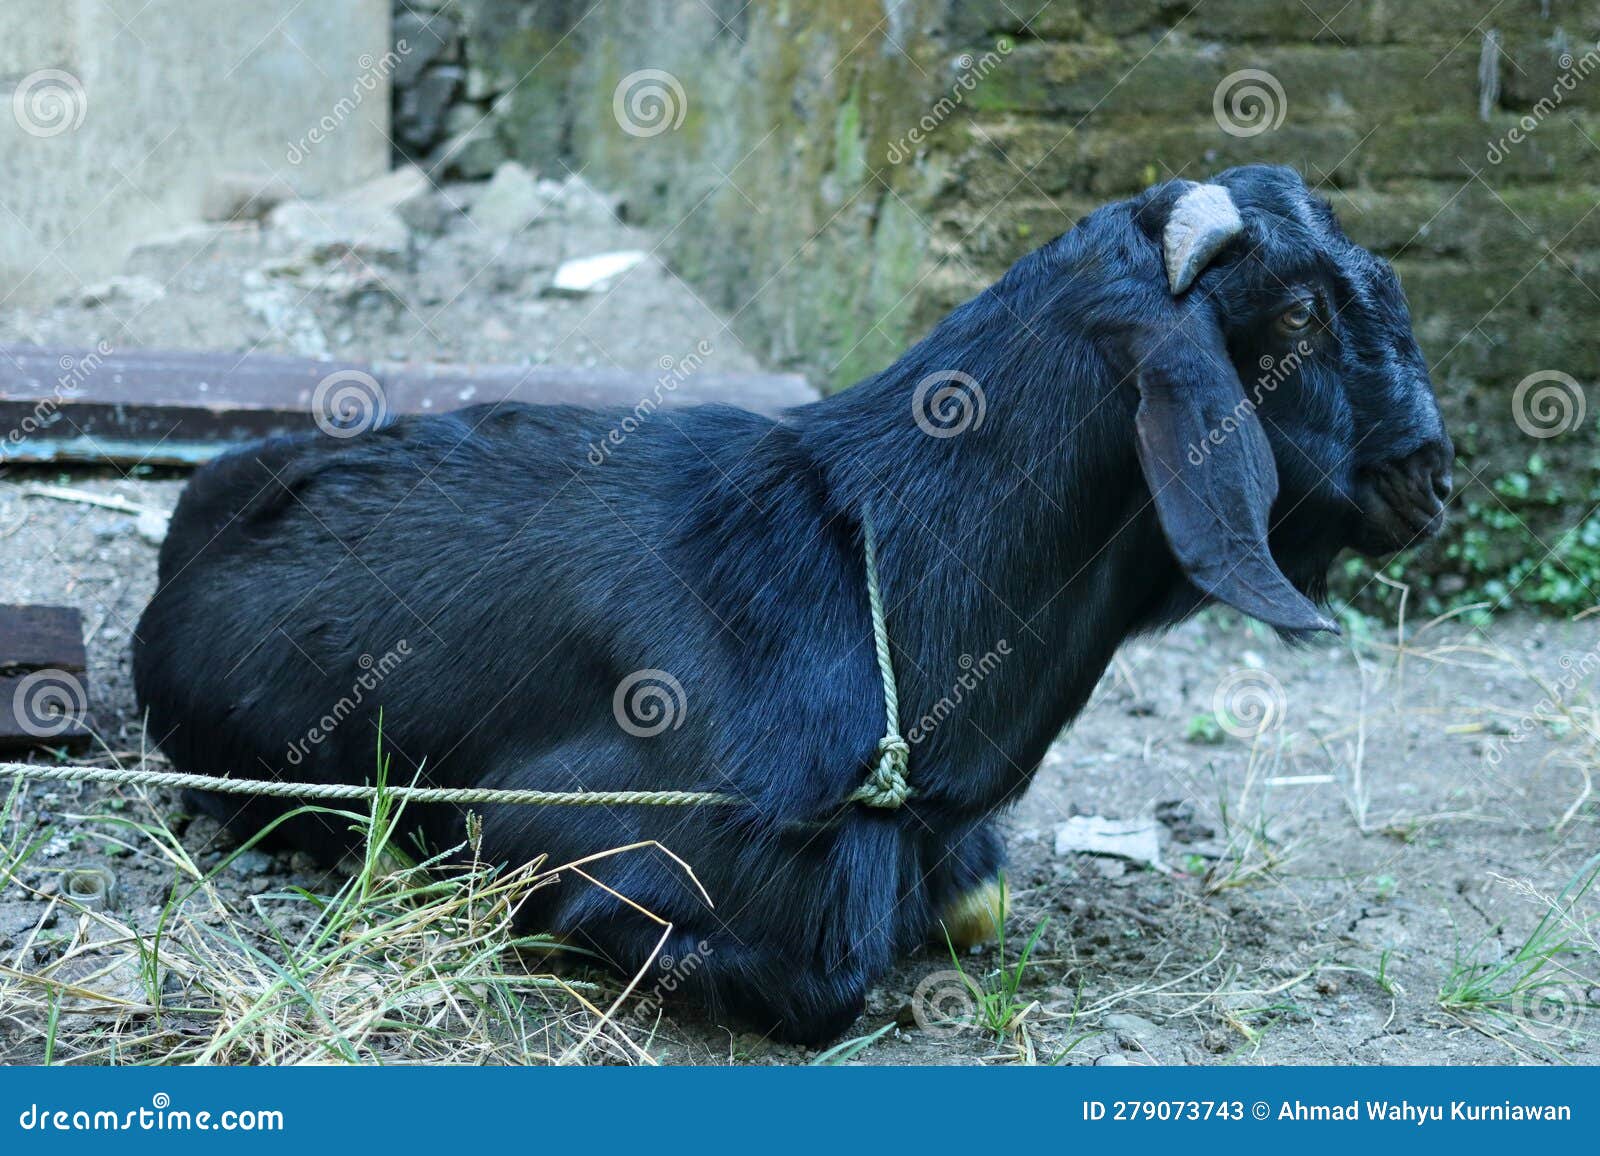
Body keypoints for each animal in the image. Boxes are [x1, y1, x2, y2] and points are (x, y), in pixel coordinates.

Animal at [134, 165, 1453, 1045]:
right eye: (1296, 313)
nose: (1430, 475)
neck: (879, 561)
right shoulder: (589, 838)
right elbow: (819, 983)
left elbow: (978, 901)